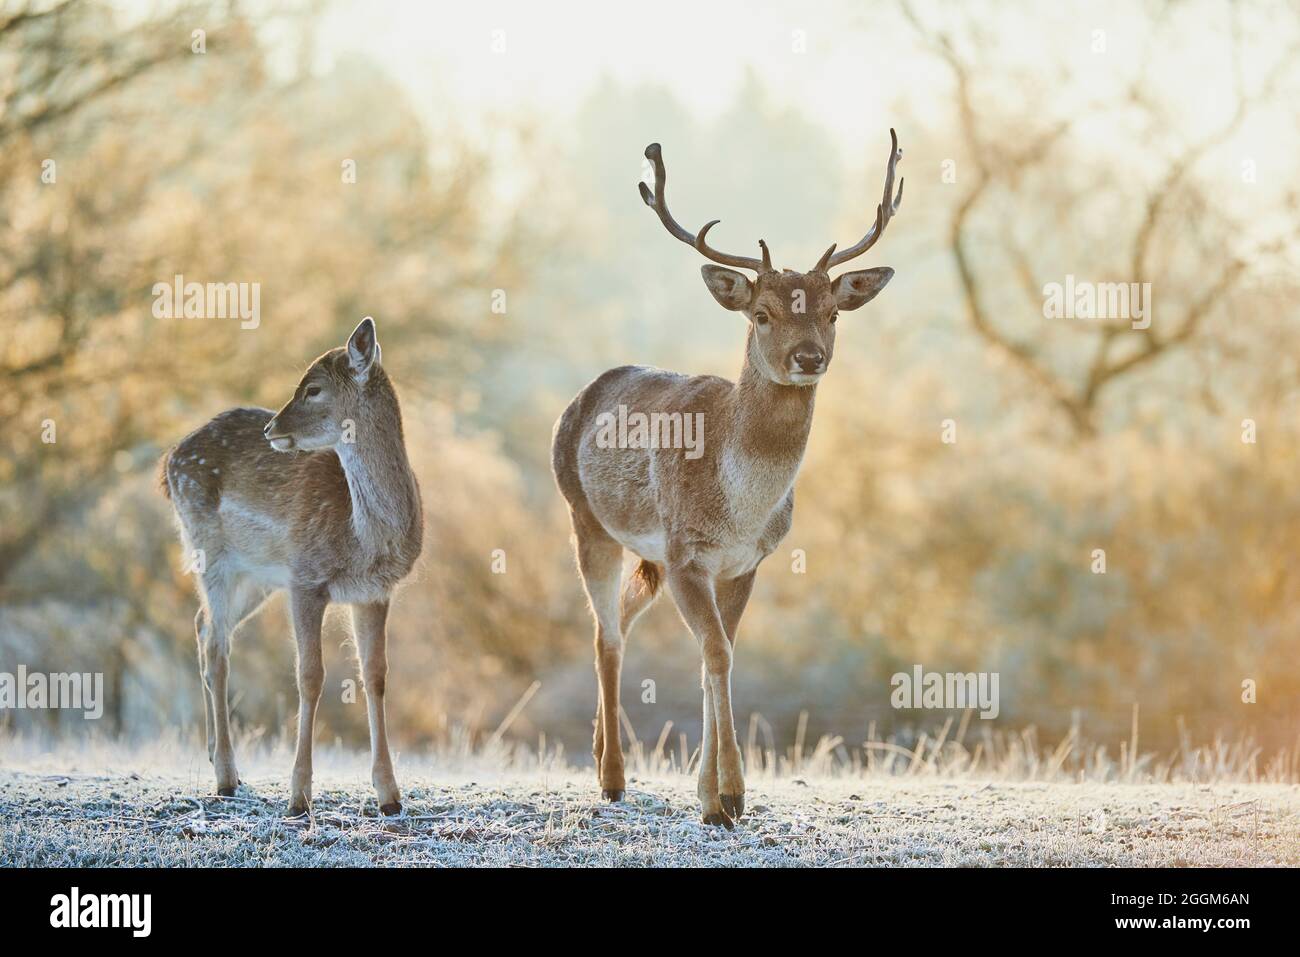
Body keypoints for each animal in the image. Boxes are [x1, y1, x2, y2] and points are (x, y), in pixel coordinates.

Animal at [159, 317, 422, 817]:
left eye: (313, 388)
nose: (271, 427)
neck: (362, 539)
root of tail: (169, 462)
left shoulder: (376, 591)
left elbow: (376, 675)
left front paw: (389, 796)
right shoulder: (305, 577)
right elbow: (310, 675)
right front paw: (299, 796)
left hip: (257, 576)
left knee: (204, 625)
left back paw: (215, 755)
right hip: (207, 546)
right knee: (218, 644)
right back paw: (225, 777)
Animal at [552, 130, 903, 827]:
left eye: (833, 313)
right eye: (762, 313)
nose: (808, 358)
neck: (741, 506)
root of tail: (578, 398)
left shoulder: (744, 563)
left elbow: (721, 653)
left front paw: (713, 794)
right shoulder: (689, 553)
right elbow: (716, 652)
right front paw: (730, 798)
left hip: (647, 558)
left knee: (617, 621)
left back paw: (606, 753)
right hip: (586, 519)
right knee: (606, 631)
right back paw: (611, 778)